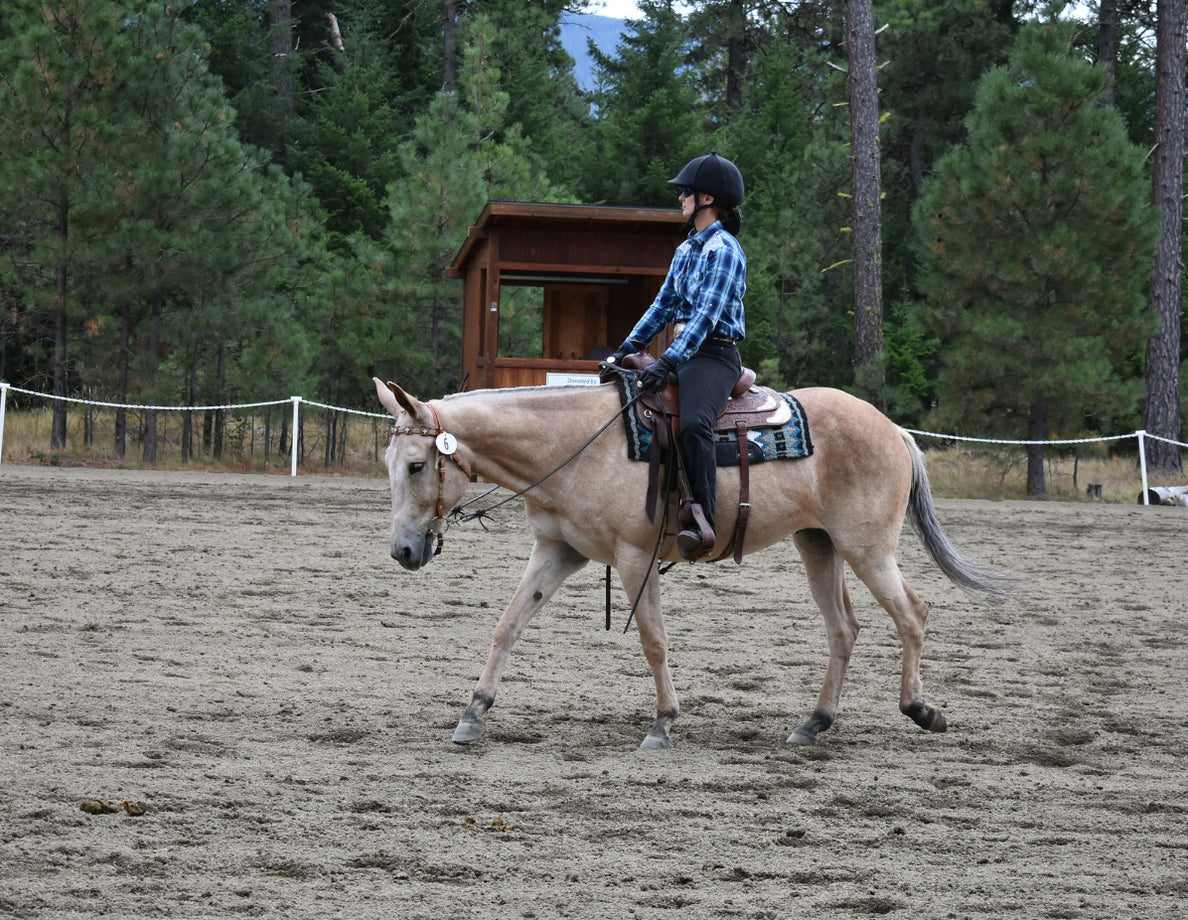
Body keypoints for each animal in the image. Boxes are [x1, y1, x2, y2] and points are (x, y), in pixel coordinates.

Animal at [372, 375, 1013, 750]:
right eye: (388, 463)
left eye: (415, 466)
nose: (402, 551)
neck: (574, 445)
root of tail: (892, 428)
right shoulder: (559, 551)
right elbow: (507, 625)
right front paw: (473, 713)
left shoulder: (635, 559)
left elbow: (653, 641)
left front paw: (662, 723)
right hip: (818, 544)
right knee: (844, 629)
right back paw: (814, 722)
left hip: (867, 546)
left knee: (912, 615)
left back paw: (921, 709)